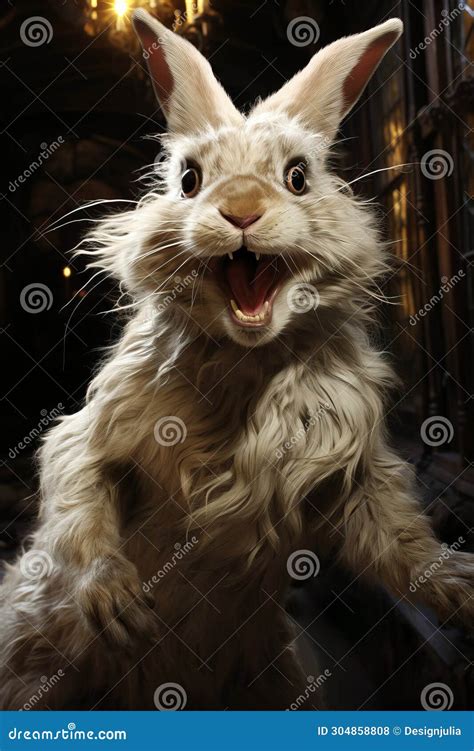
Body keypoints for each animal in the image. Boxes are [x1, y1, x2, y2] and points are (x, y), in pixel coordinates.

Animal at [0, 10, 472, 711]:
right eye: (189, 179)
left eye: (298, 176)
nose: (242, 212)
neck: (247, 365)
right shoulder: (95, 436)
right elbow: (80, 488)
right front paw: (117, 603)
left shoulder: (356, 474)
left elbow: (397, 537)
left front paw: (461, 587)